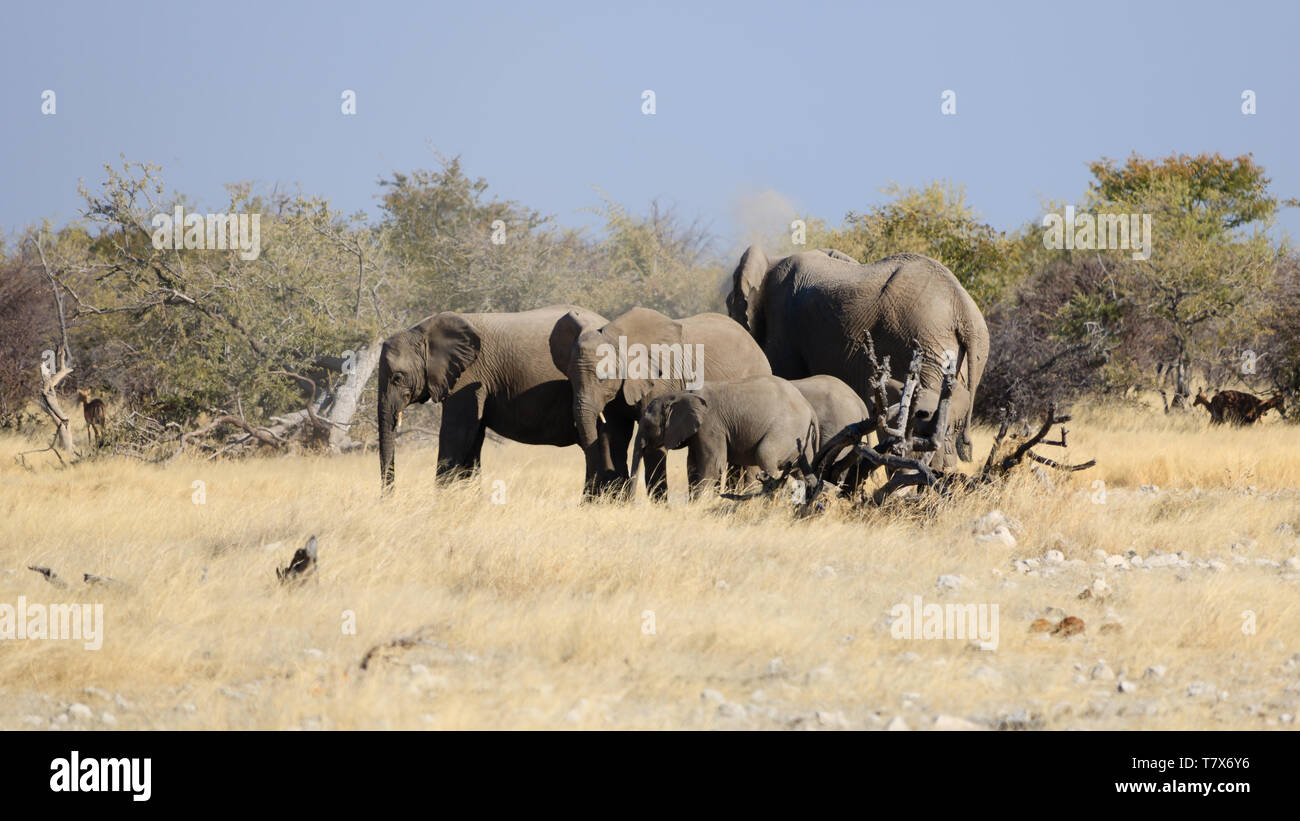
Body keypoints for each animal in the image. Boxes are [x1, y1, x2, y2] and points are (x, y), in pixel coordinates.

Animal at [377, 305, 612, 492]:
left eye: (397, 377)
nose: (388, 499)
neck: (423, 331)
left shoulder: (469, 376)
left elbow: (456, 434)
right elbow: (472, 441)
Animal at [550, 306, 772, 499]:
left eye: (603, 378)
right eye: (570, 378)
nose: (627, 498)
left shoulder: (662, 379)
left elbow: (655, 443)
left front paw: (660, 507)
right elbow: (614, 436)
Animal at [632, 375, 819, 500]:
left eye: (647, 425)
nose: (630, 501)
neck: (681, 394)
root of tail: (810, 409)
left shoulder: (710, 424)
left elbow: (713, 465)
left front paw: (699, 505)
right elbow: (692, 464)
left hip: (786, 430)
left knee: (765, 455)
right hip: (801, 439)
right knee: (802, 470)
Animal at [726, 246, 989, 469]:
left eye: (730, 303)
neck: (773, 258)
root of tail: (964, 310)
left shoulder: (783, 324)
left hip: (920, 342)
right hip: (961, 357)